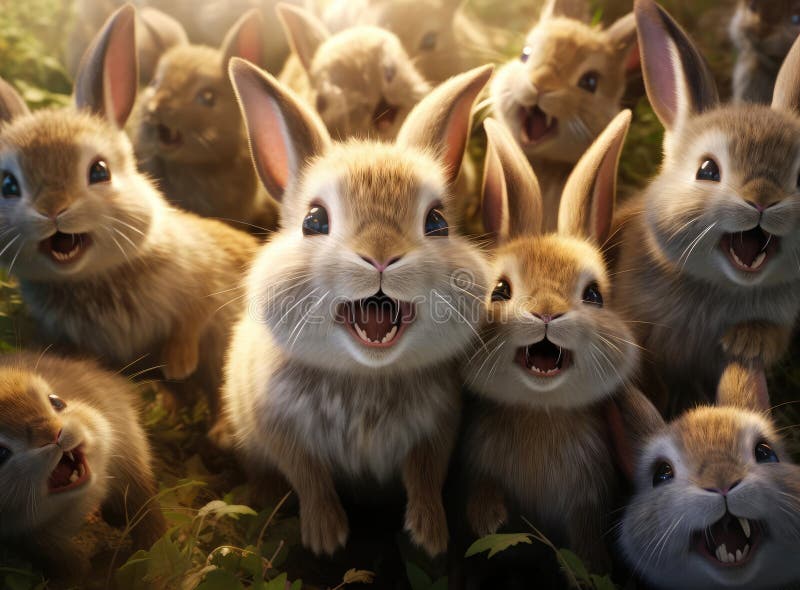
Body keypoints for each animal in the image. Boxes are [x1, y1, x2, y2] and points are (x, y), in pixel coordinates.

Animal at [0, 6, 257, 441]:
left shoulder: (204, 286)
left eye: (99, 170)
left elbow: (192, 321)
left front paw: (178, 364)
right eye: (7, 185)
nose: (53, 210)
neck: (94, 276)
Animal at [0, 352, 166, 577]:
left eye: (56, 402)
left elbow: (144, 507)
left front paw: (151, 547)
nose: (55, 434)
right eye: (0, 453)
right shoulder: (30, 536)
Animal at [223, 60, 493, 557]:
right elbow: (309, 478)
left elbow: (424, 477)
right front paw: (325, 537)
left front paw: (430, 536)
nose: (381, 257)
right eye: (314, 221)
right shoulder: (279, 427)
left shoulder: (437, 428)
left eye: (437, 222)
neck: (365, 374)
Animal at [461, 110, 639, 571]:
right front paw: (488, 520)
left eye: (594, 294)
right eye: (500, 290)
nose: (546, 313)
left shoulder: (588, 502)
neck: (540, 411)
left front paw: (591, 567)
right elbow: (481, 488)